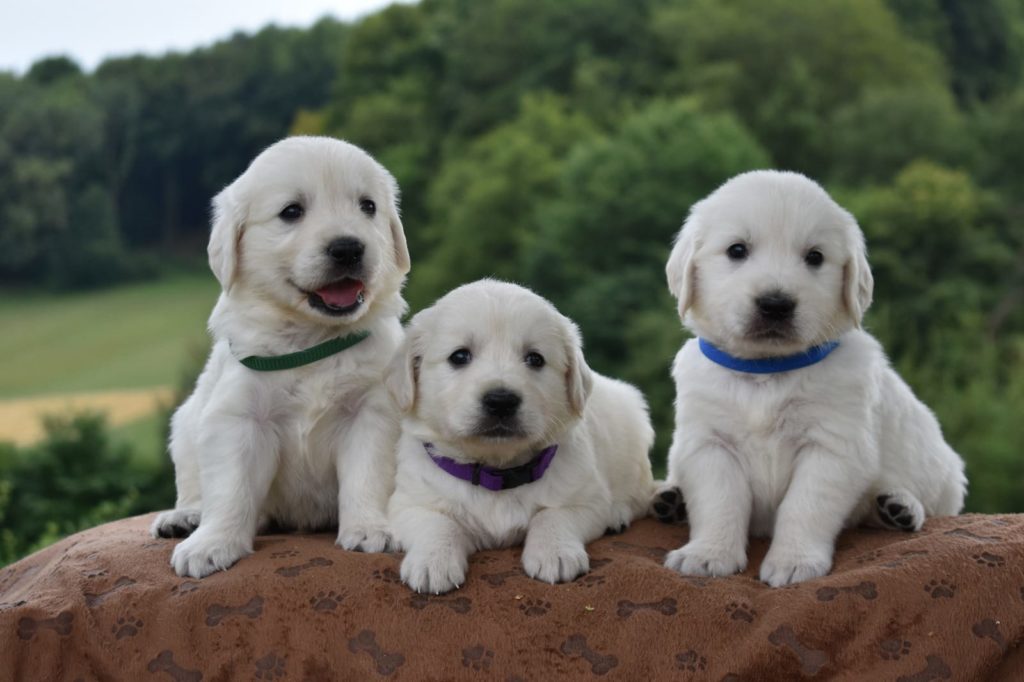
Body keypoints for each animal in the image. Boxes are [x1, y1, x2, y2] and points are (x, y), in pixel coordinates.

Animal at [385, 278, 655, 593]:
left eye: (535, 359)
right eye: (460, 356)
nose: (501, 401)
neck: (496, 473)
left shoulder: (585, 499)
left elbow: (552, 514)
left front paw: (555, 553)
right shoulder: (408, 502)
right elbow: (437, 522)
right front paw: (432, 562)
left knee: (640, 496)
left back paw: (619, 513)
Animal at [655, 168, 966, 585]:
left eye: (815, 257)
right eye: (737, 250)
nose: (776, 304)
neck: (767, 371)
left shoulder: (831, 447)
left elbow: (804, 507)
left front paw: (793, 561)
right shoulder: (709, 443)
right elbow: (719, 502)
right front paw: (708, 555)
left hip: (942, 476)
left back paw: (898, 507)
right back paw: (669, 500)